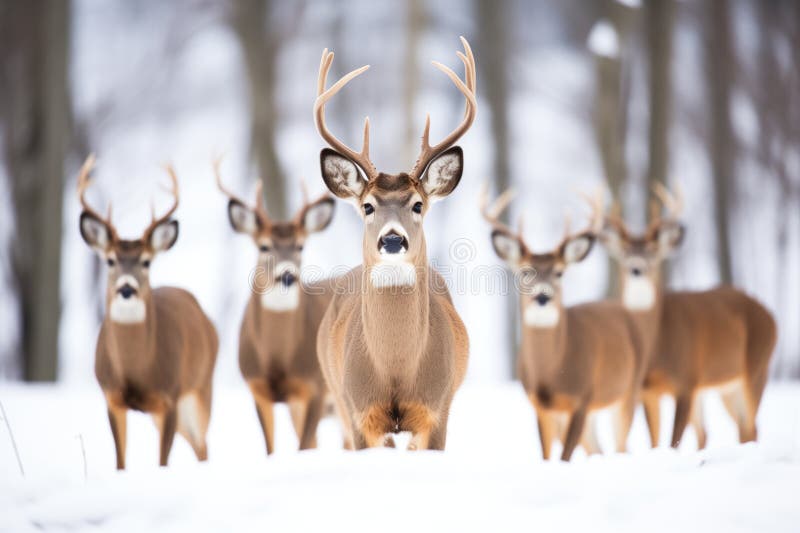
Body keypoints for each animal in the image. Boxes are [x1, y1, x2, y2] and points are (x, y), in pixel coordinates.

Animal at [77, 154, 218, 469]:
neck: (136, 370)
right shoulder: (112, 398)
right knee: (199, 444)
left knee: (204, 445)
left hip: (200, 388)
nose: (127, 288)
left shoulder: (170, 397)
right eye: (110, 260)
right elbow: (120, 461)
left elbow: (162, 461)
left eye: (146, 261)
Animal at [214, 160, 336, 453]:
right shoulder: (257, 388)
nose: (287, 275)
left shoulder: (316, 387)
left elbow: (303, 447)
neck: (279, 359)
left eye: (300, 246)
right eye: (264, 246)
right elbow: (271, 449)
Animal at [312, 37, 474, 451]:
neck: (396, 371)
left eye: (418, 204)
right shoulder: (359, 413)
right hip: (336, 394)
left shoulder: (437, 409)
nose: (391, 239)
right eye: (367, 206)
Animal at [481, 187, 647, 461]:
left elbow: (564, 457)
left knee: (621, 446)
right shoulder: (540, 405)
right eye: (525, 272)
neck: (550, 373)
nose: (542, 296)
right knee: (598, 450)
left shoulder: (582, 399)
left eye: (559, 272)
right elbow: (547, 455)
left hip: (627, 391)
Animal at [599, 184, 777, 449]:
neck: (657, 346)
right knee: (731, 429)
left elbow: (673, 440)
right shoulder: (648, 390)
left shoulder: (687, 380)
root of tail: (769, 315)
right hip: (726, 386)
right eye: (624, 252)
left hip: (757, 368)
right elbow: (655, 441)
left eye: (653, 251)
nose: (636, 268)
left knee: (749, 426)